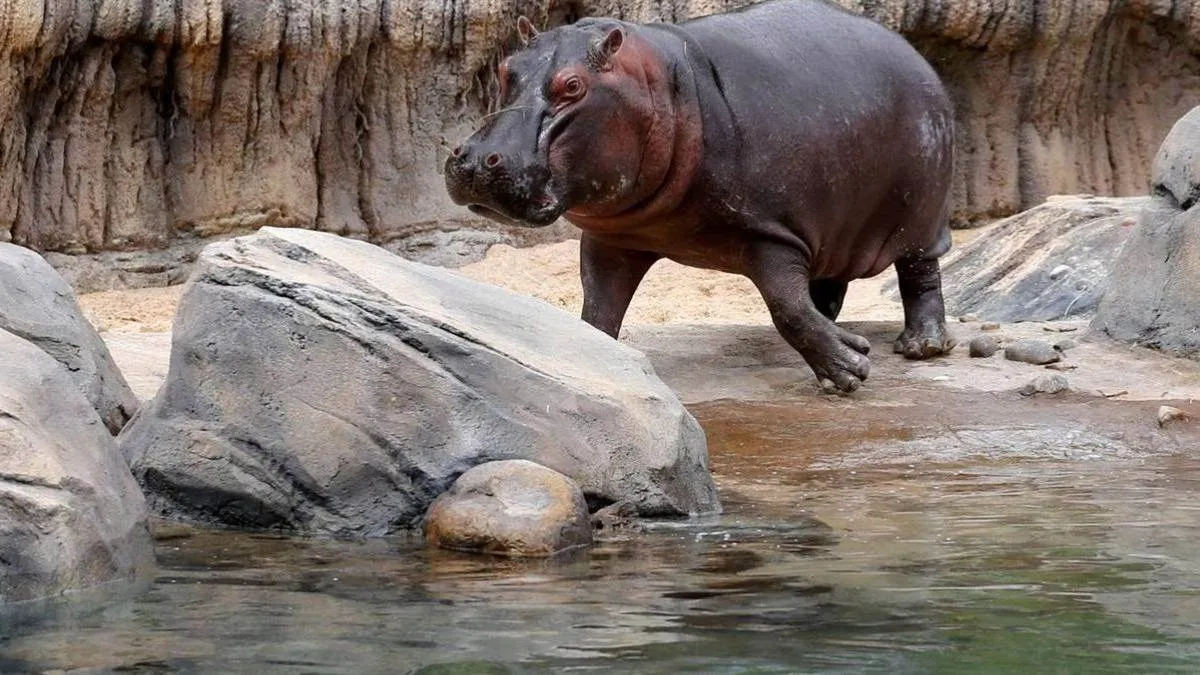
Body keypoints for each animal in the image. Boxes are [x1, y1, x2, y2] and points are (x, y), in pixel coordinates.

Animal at [444, 0, 955, 393]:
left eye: (573, 85)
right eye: (506, 70)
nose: (475, 160)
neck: (659, 87)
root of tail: (912, 50)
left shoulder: (770, 232)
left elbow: (788, 309)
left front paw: (849, 374)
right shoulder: (613, 239)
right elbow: (598, 306)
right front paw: (600, 361)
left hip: (920, 215)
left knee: (920, 275)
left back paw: (922, 347)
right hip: (834, 226)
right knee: (829, 283)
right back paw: (838, 324)